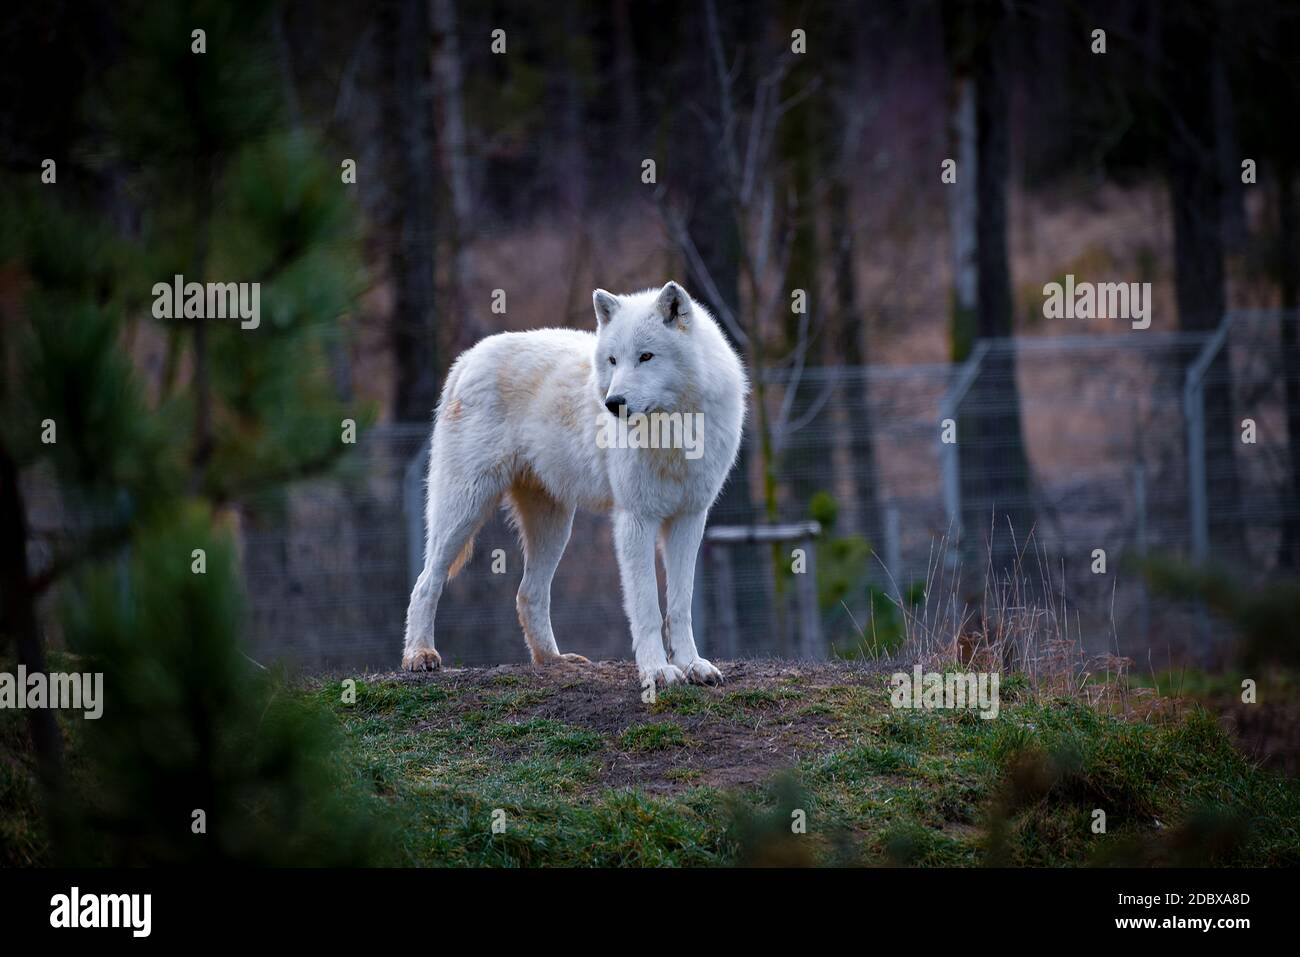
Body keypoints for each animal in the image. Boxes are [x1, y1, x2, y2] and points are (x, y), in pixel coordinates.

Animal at [401, 280, 748, 687]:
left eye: (646, 357)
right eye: (613, 360)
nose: (613, 403)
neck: (672, 432)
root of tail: (467, 358)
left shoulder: (690, 518)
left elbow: (679, 605)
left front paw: (693, 665)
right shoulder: (635, 520)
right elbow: (647, 605)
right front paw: (657, 670)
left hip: (555, 526)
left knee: (527, 593)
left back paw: (553, 660)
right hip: (464, 511)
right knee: (425, 582)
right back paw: (419, 655)